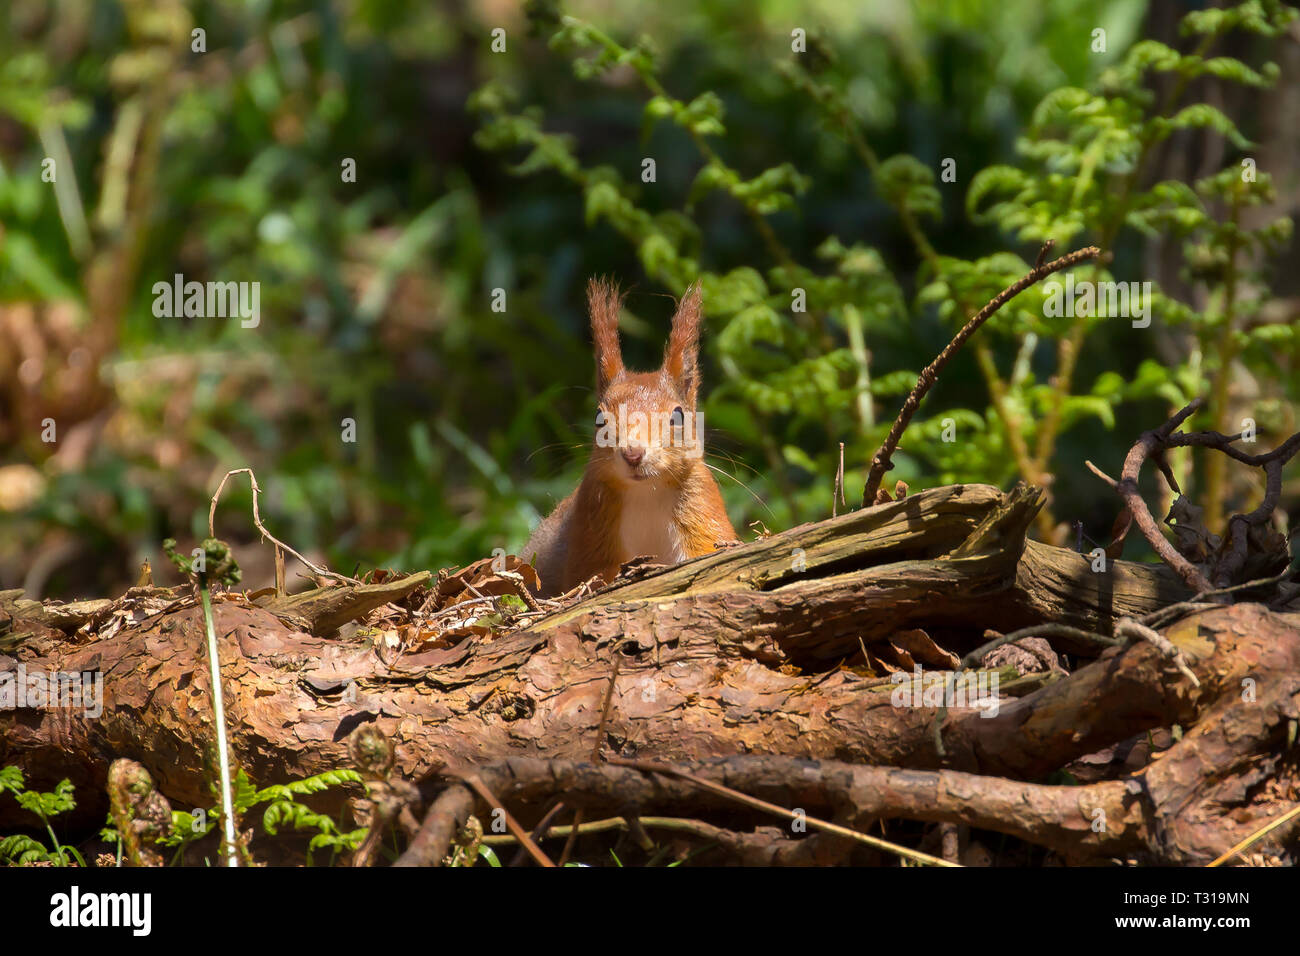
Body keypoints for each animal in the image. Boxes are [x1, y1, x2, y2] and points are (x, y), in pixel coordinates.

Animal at [523, 278, 738, 596]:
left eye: (678, 416)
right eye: (599, 419)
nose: (633, 453)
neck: (646, 492)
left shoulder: (701, 510)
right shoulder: (591, 528)